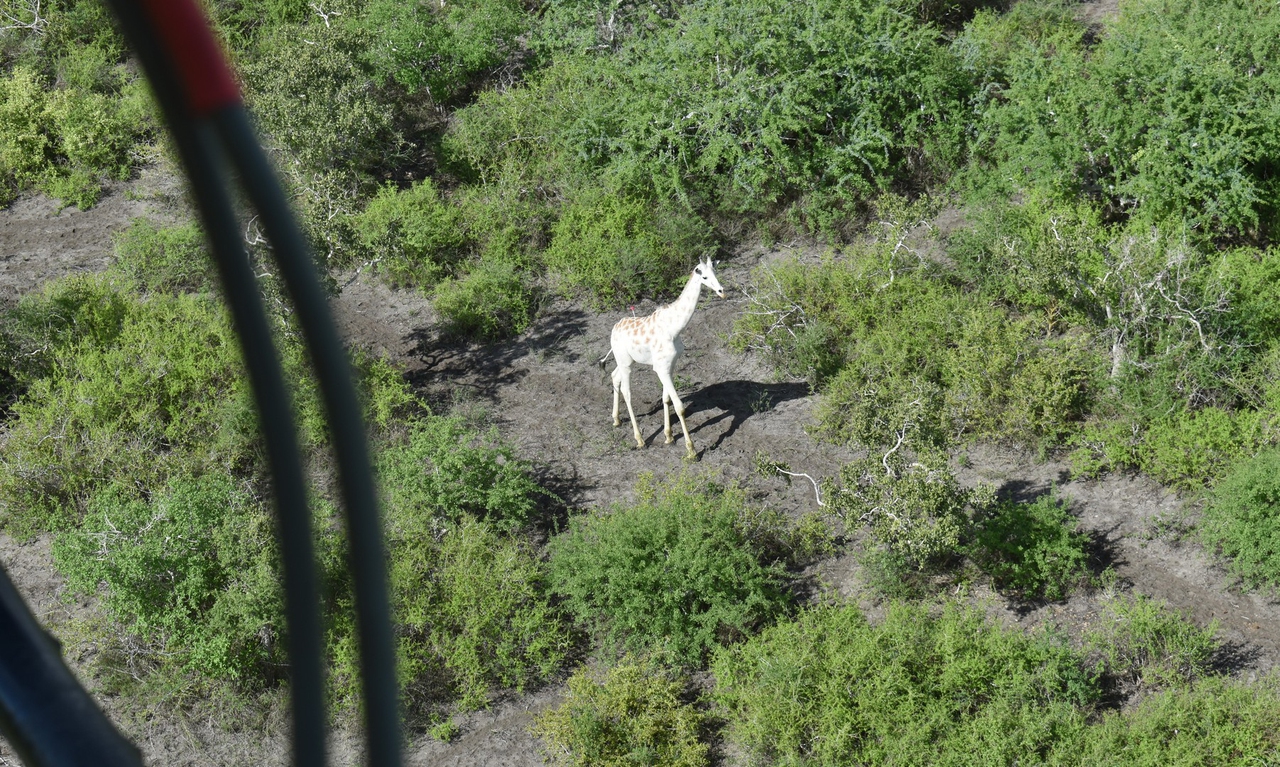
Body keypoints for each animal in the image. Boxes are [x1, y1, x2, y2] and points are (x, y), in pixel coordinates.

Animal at [598, 257, 725, 460]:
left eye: (715, 272)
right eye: (704, 277)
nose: (721, 292)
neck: (674, 328)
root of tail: (614, 329)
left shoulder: (670, 365)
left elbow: (666, 399)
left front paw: (669, 437)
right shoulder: (661, 367)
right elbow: (679, 406)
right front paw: (691, 451)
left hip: (625, 360)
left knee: (614, 376)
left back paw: (616, 419)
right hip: (625, 363)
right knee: (627, 391)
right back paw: (640, 440)